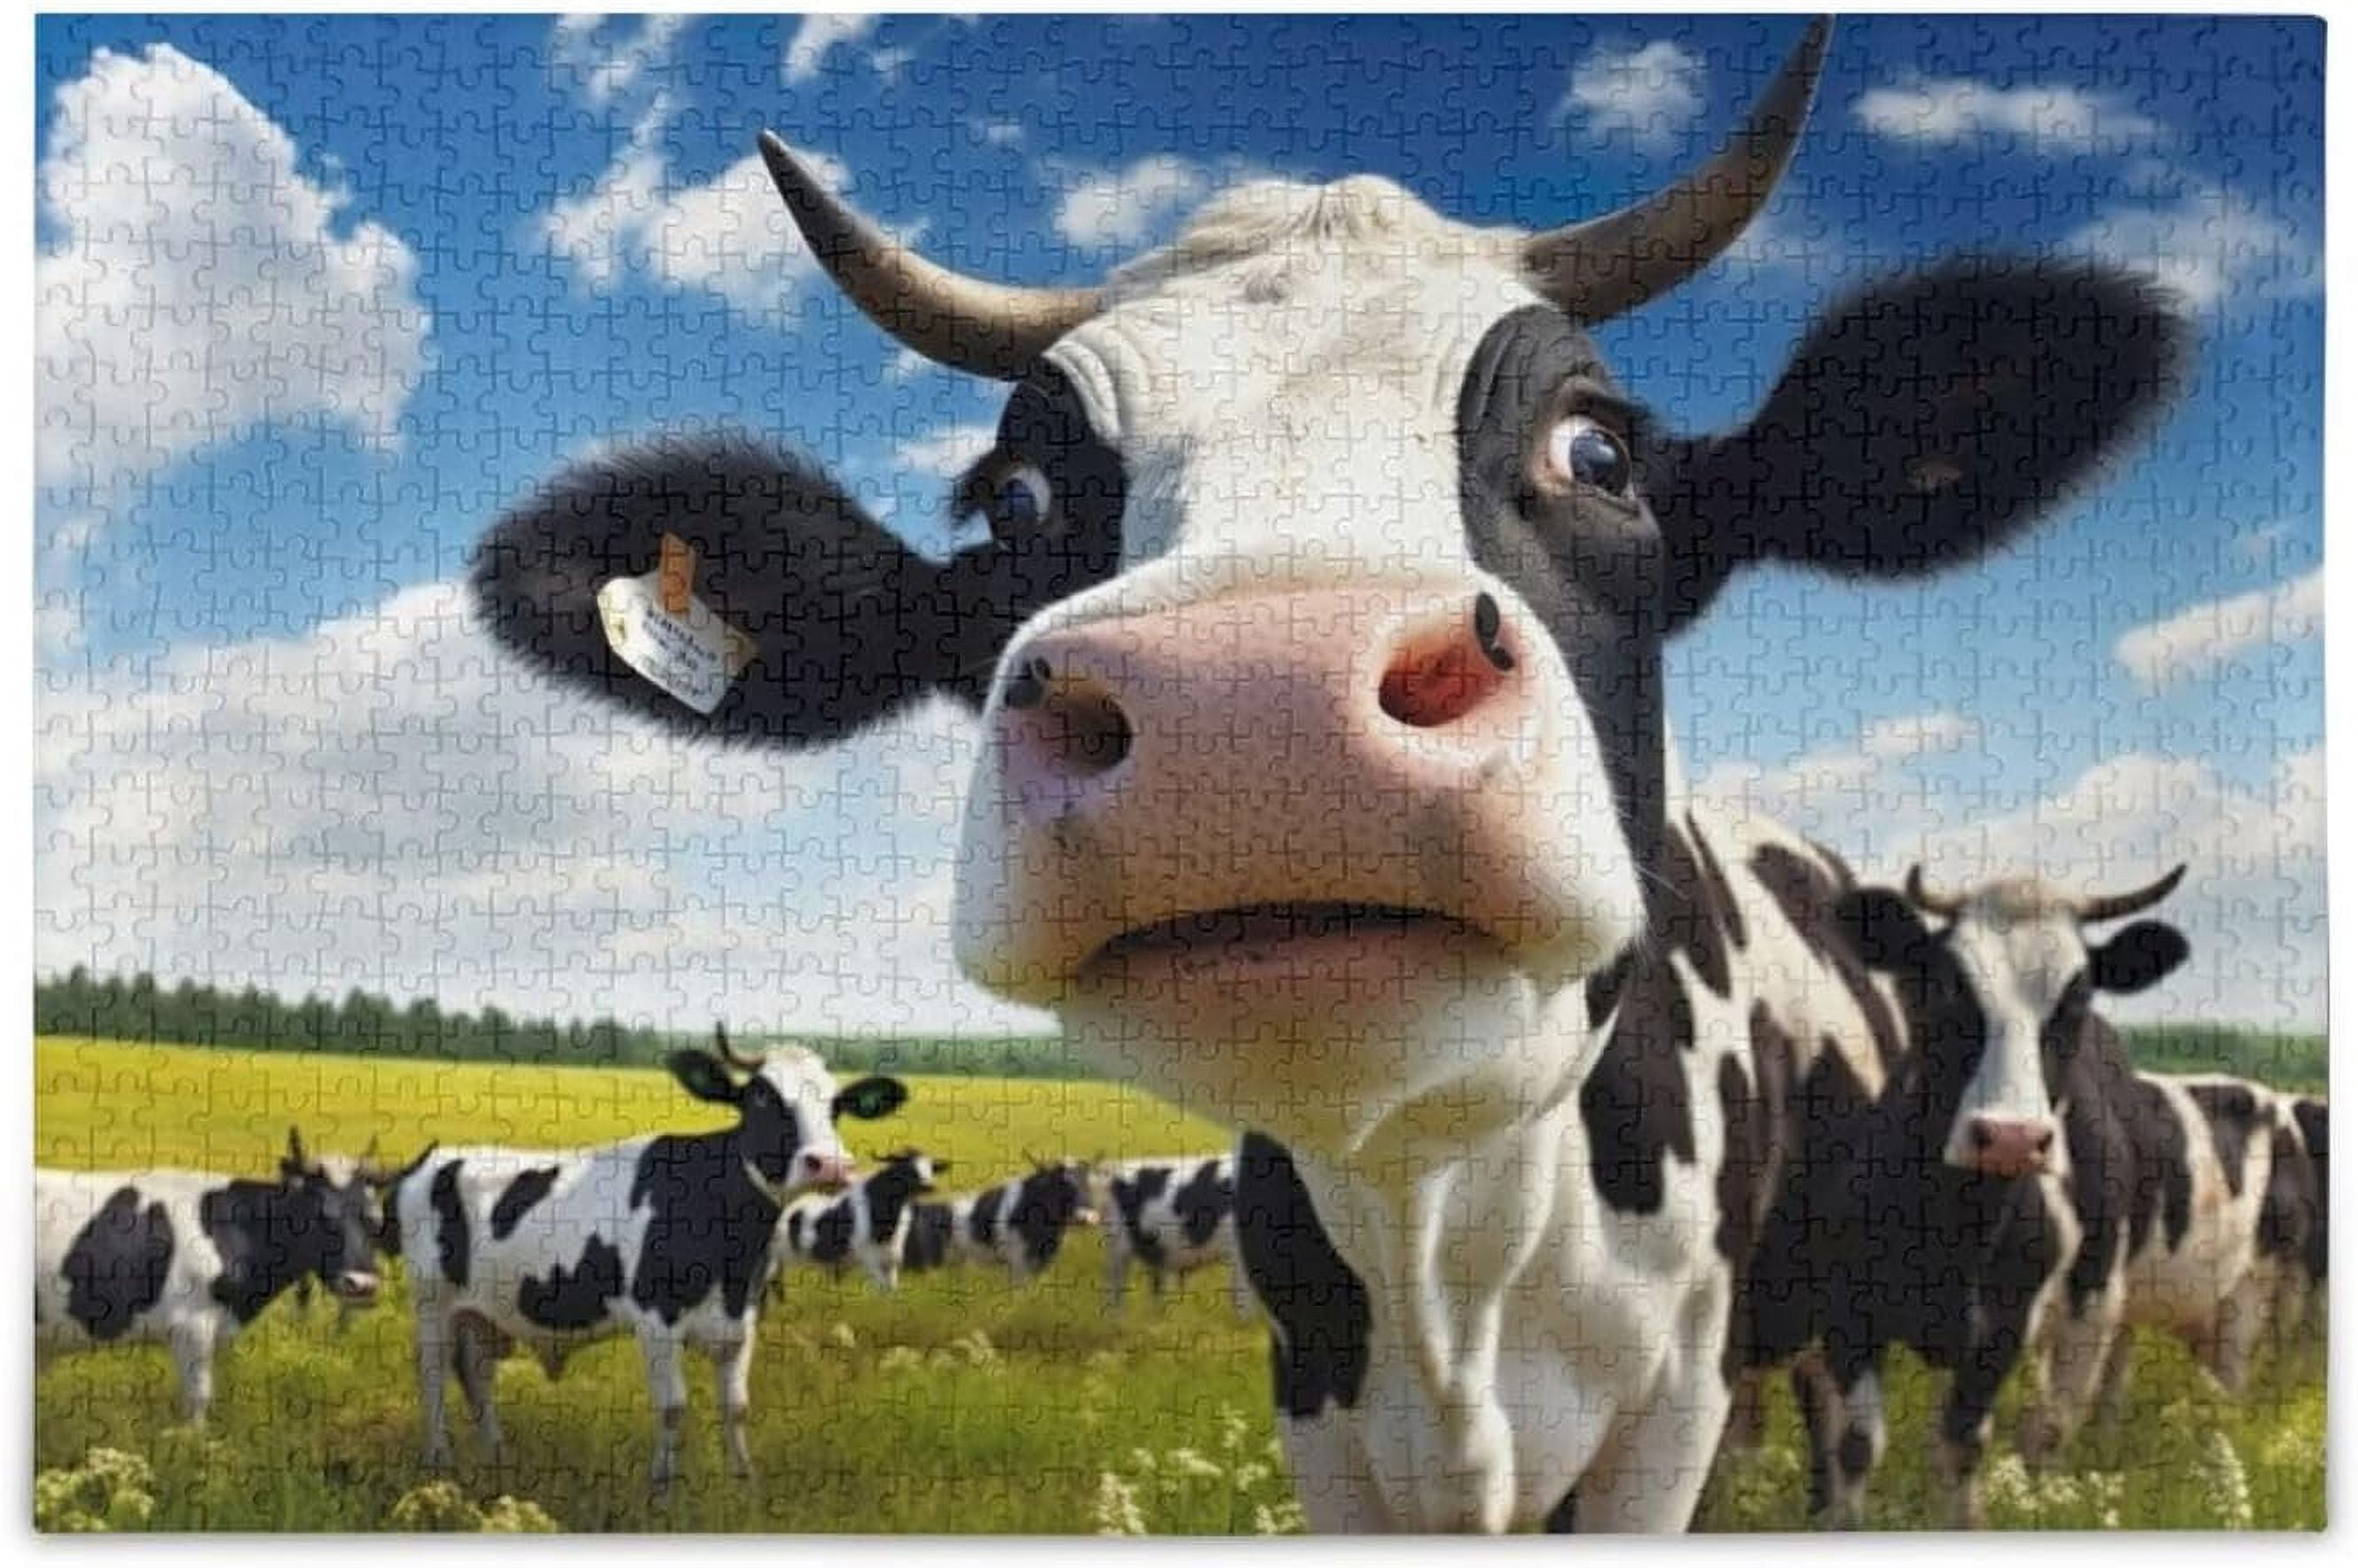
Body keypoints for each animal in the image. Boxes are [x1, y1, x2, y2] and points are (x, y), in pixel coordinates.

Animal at [387, 1028, 906, 1492]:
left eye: (836, 1106)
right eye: (760, 1098)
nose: (831, 1164)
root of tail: (436, 1155)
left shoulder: (743, 1321)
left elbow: (736, 1406)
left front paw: (746, 1486)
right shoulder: (657, 1319)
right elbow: (673, 1406)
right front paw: (663, 1489)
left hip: (484, 1311)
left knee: (476, 1372)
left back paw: (496, 1453)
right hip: (431, 1301)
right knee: (432, 1373)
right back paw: (439, 1460)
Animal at [776, 1148, 948, 1292]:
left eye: (930, 1168)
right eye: (907, 1167)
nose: (928, 1186)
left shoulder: (892, 1253)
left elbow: (891, 1286)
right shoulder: (866, 1254)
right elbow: (881, 1285)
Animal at [1786, 865, 2197, 1527]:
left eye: (2076, 996)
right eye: (1949, 984)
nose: (2009, 1138)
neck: (1951, 1220)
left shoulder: (2001, 1329)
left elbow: (1963, 1444)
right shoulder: (1850, 1311)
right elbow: (1856, 1445)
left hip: (2093, 1305)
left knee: (2051, 1424)